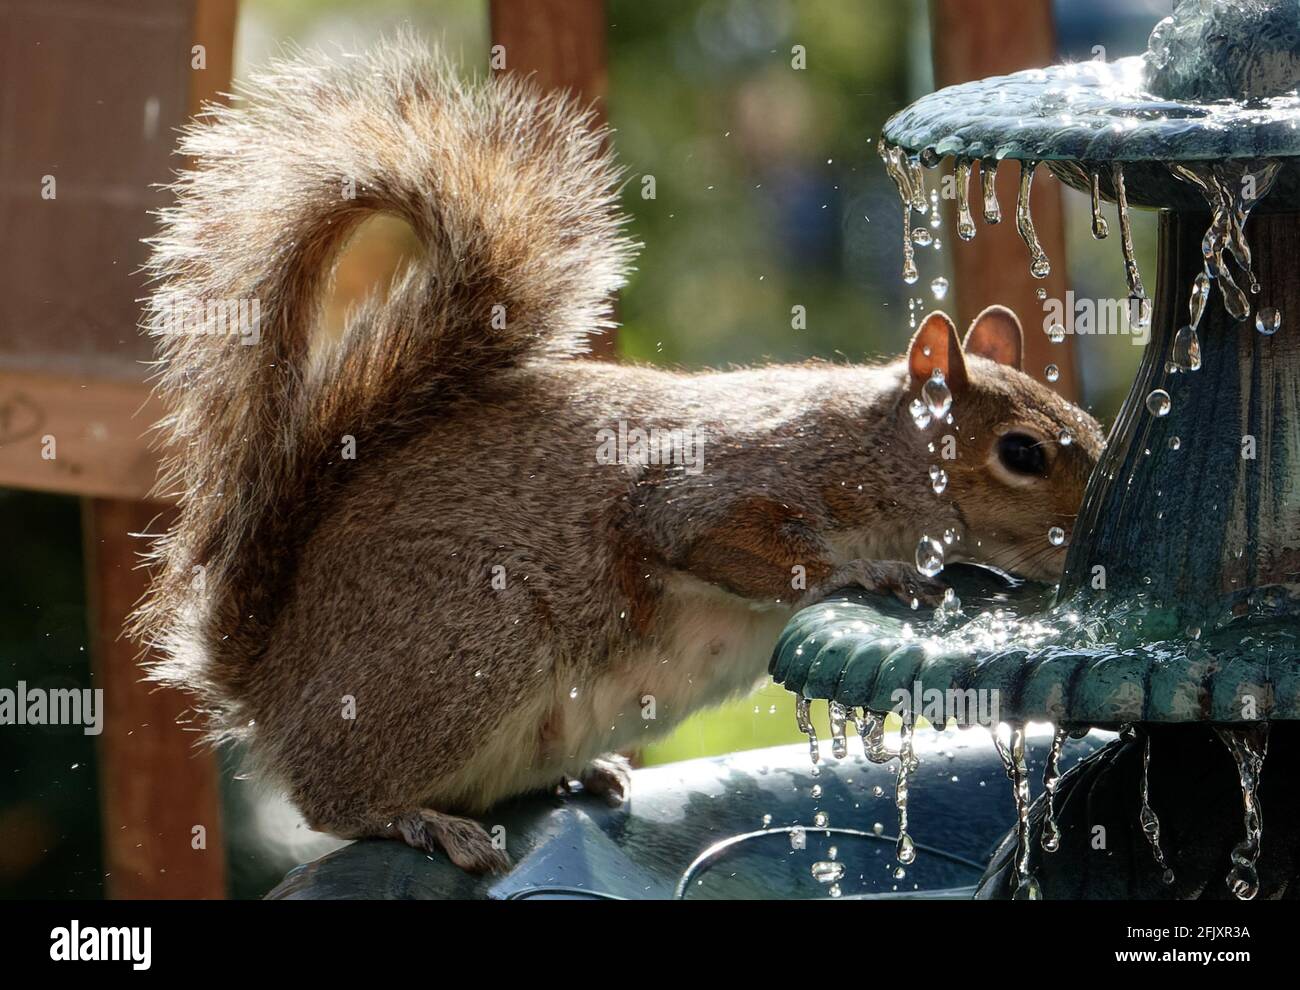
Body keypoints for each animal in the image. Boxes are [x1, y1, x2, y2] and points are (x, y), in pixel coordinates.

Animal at [133, 38, 1104, 874]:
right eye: (1022, 453)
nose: (1090, 542)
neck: (869, 441)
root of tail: (268, 686)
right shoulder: (734, 480)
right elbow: (718, 539)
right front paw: (869, 576)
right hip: (471, 641)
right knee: (331, 798)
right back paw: (419, 820)